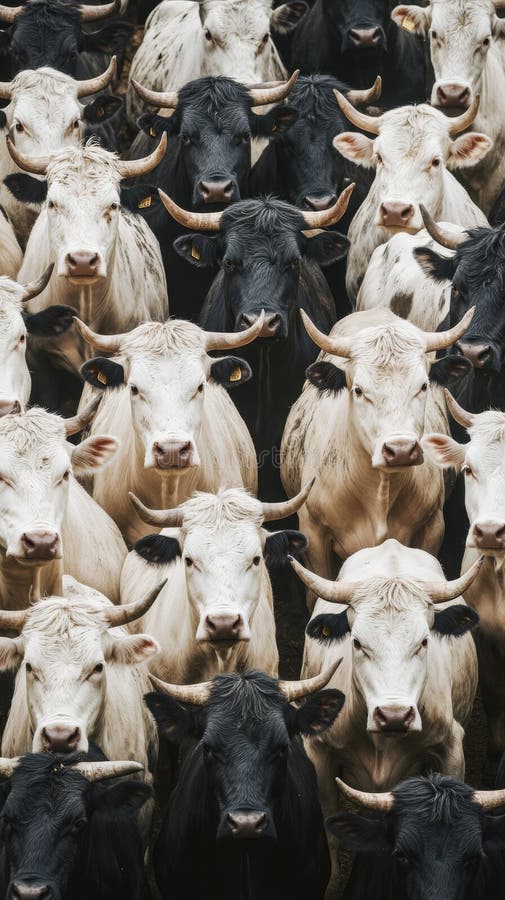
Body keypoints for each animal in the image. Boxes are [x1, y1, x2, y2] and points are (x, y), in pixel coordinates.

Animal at [290, 540, 481, 891]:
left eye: (423, 641)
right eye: (357, 642)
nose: (394, 715)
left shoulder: (451, 751)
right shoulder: (319, 756)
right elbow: (334, 835)